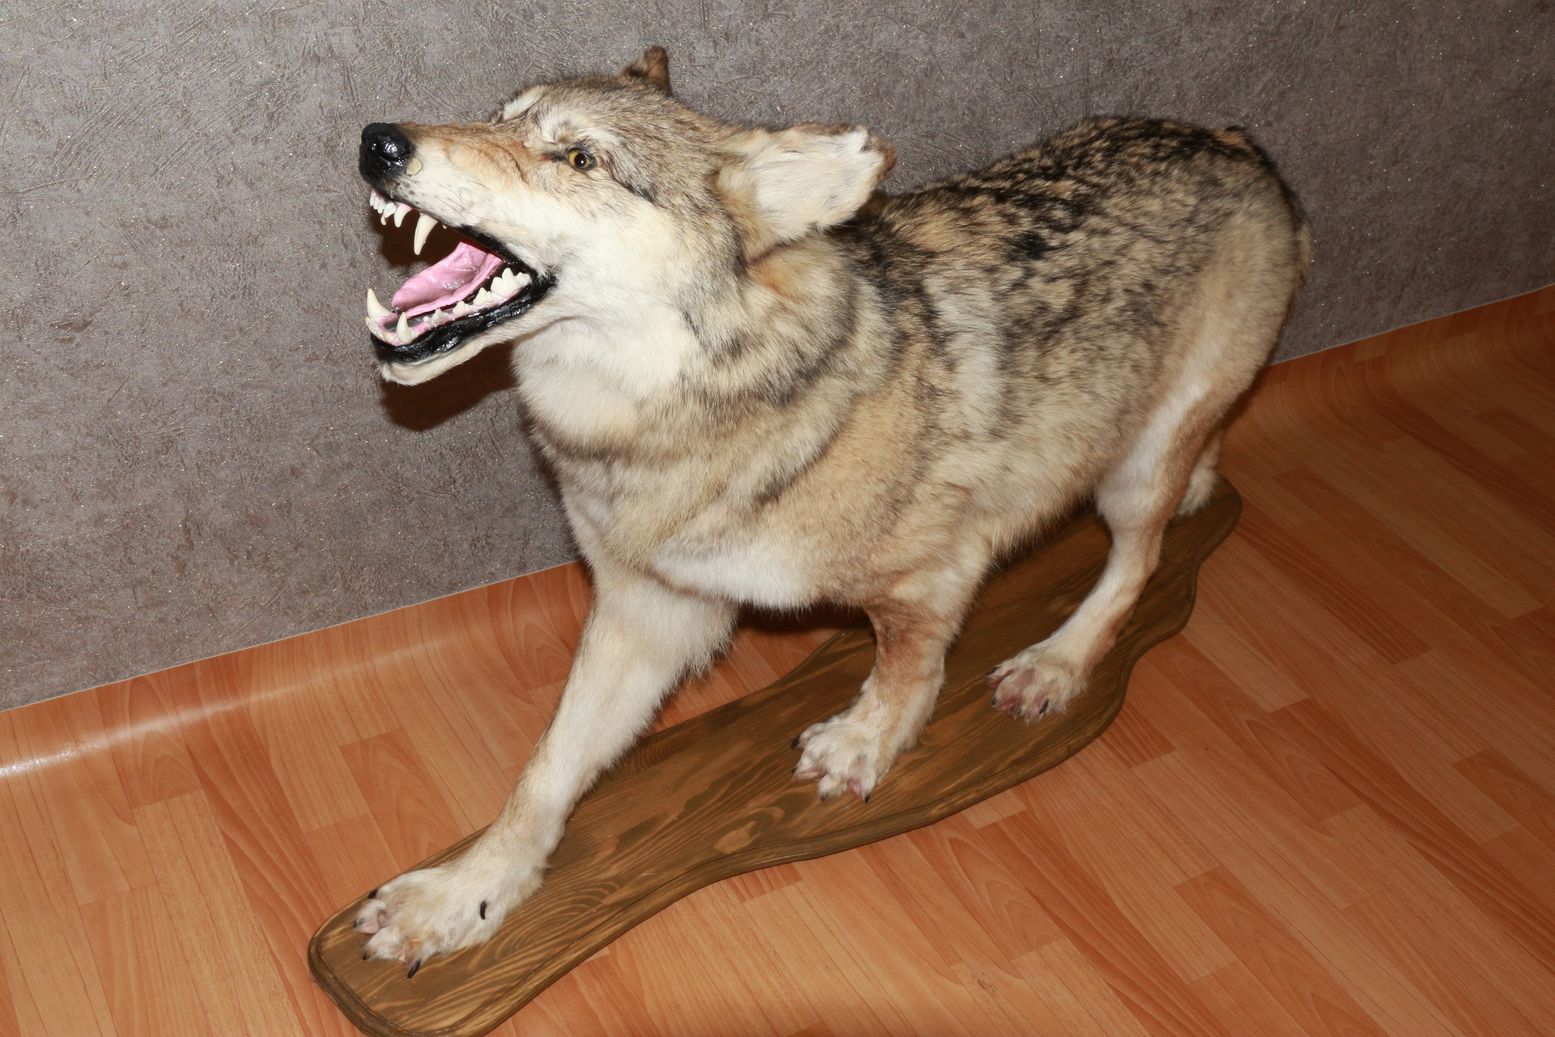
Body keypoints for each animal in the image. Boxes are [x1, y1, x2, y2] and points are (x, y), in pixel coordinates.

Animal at [352, 46, 1310, 971]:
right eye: (496, 117)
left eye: (578, 157)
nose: (377, 140)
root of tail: (1239, 145)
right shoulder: (646, 608)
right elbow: (543, 771)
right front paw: (460, 897)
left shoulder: (933, 575)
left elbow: (907, 670)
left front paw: (863, 746)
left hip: (1134, 467)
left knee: (1136, 563)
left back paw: (1055, 663)